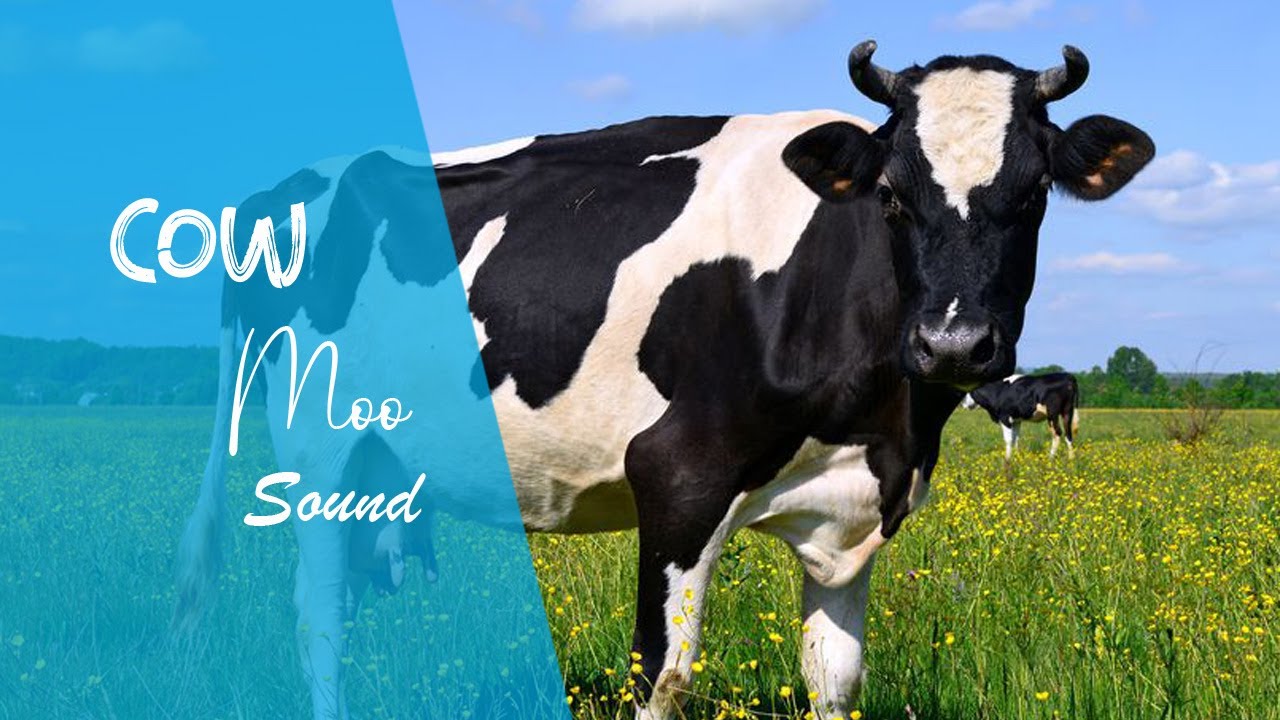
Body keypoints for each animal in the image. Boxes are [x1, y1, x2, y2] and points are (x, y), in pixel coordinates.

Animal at [174, 41, 1153, 720]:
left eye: (1034, 194)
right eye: (891, 195)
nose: (953, 345)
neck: (887, 420)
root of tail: (276, 193)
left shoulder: (853, 507)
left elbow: (834, 678)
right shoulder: (679, 478)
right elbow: (662, 673)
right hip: (319, 451)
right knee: (319, 619)